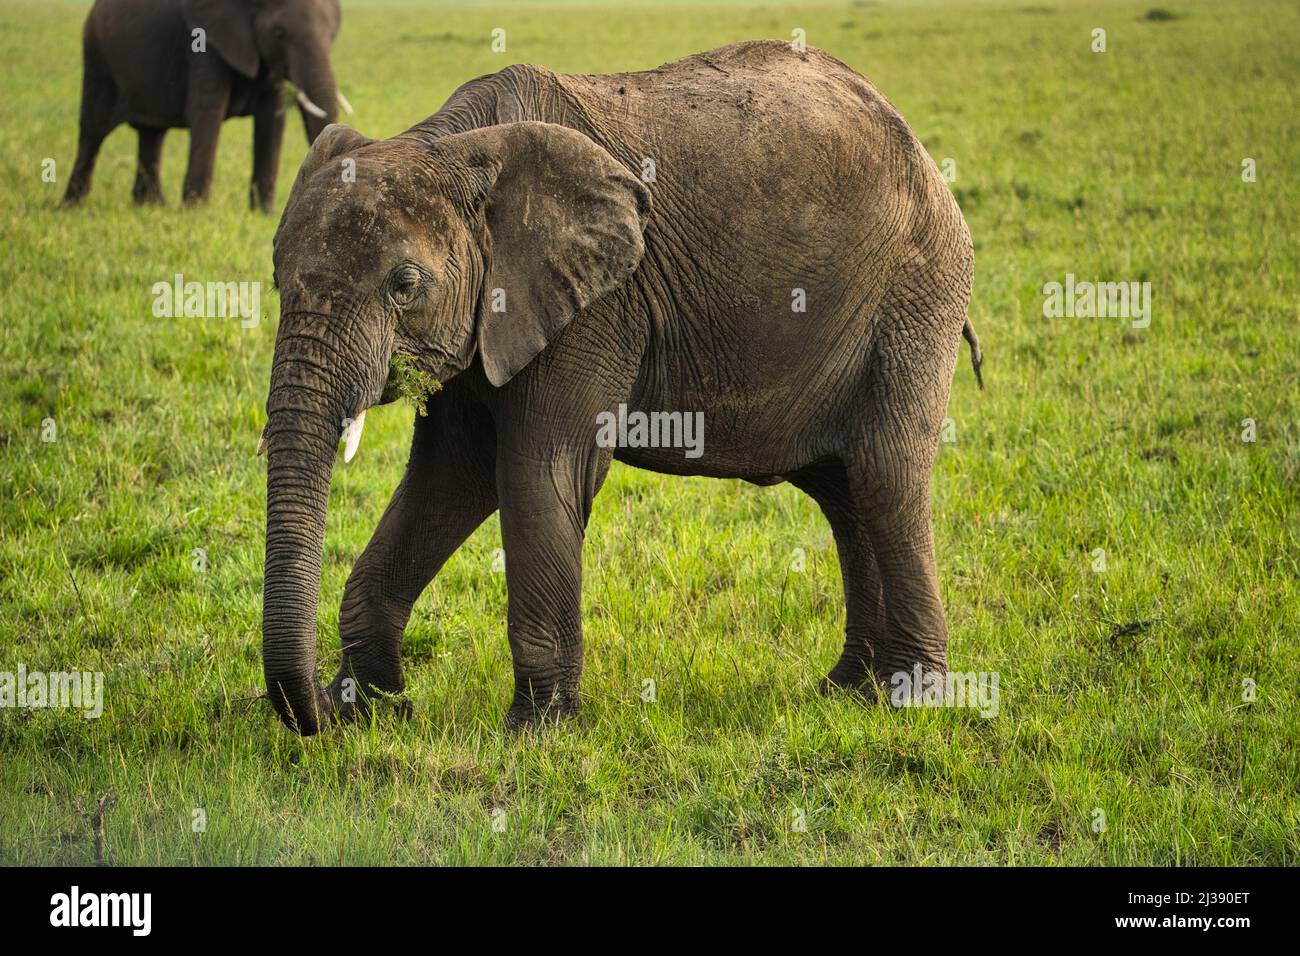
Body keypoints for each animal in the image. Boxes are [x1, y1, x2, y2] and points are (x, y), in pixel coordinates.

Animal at [62, 0, 346, 211]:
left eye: (332, 36)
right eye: (279, 33)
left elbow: (271, 119)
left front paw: (263, 212)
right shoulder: (204, 40)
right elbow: (208, 110)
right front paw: (195, 209)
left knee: (152, 134)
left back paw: (150, 206)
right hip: (97, 54)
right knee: (94, 130)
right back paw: (73, 207)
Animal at [259, 40, 982, 734]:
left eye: (404, 285)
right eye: (275, 280)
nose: (314, 711)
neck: (454, 144)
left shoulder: (596, 304)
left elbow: (538, 469)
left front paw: (535, 733)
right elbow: (447, 476)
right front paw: (371, 712)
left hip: (918, 289)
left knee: (885, 473)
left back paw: (908, 701)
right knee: (845, 490)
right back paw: (846, 692)